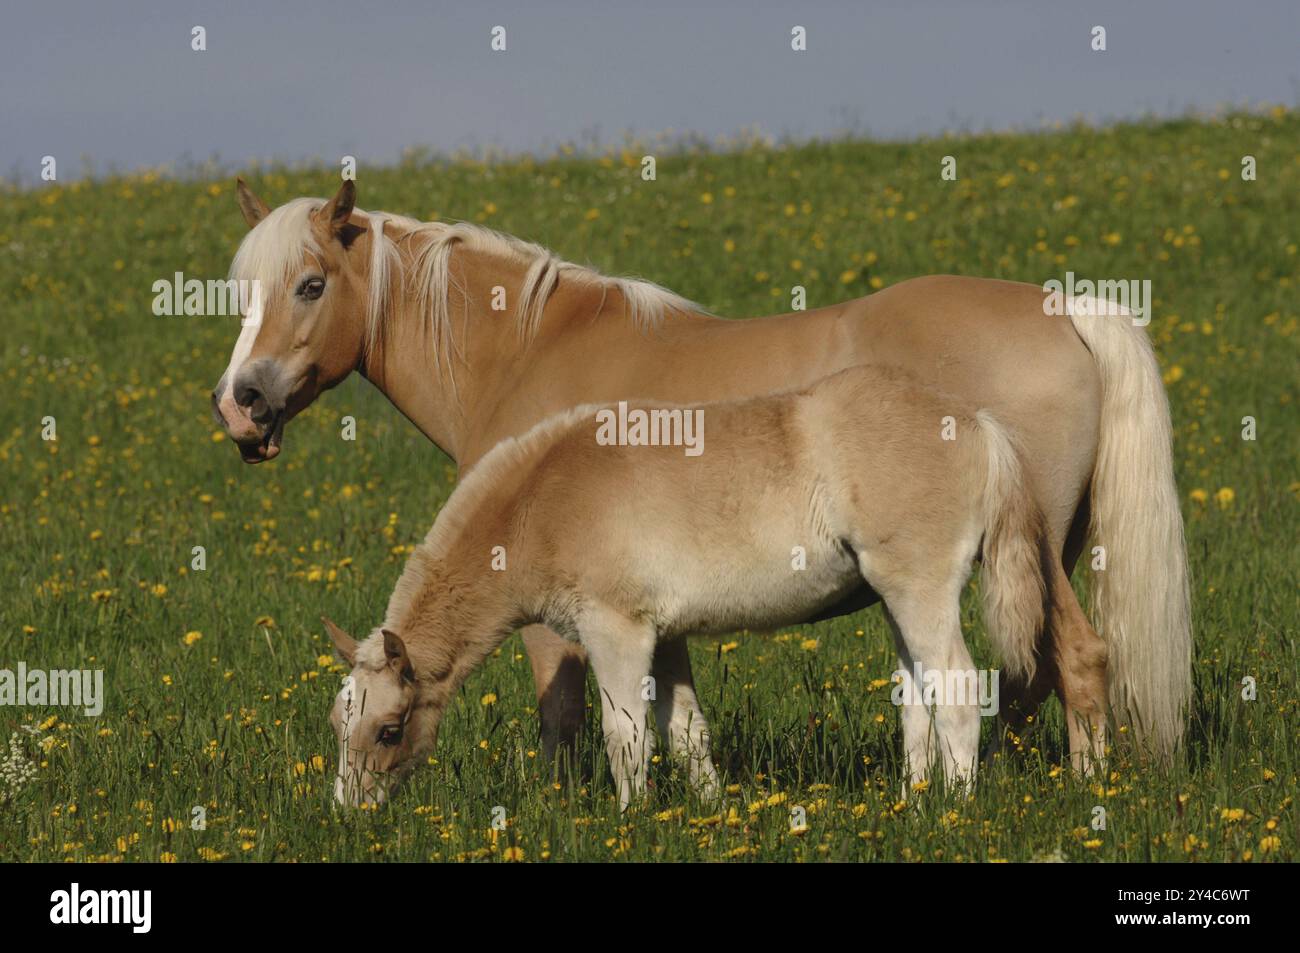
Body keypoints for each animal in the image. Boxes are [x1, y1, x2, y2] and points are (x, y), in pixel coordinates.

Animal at [321, 363, 1088, 808]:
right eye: (339, 723)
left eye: (390, 729)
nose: (347, 812)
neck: (544, 496)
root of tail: (978, 424)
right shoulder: (665, 637)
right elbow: (686, 731)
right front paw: (714, 813)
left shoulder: (616, 630)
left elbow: (625, 734)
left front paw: (630, 820)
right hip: (898, 601)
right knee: (917, 699)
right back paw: (915, 801)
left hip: (920, 588)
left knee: (956, 687)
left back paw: (954, 810)